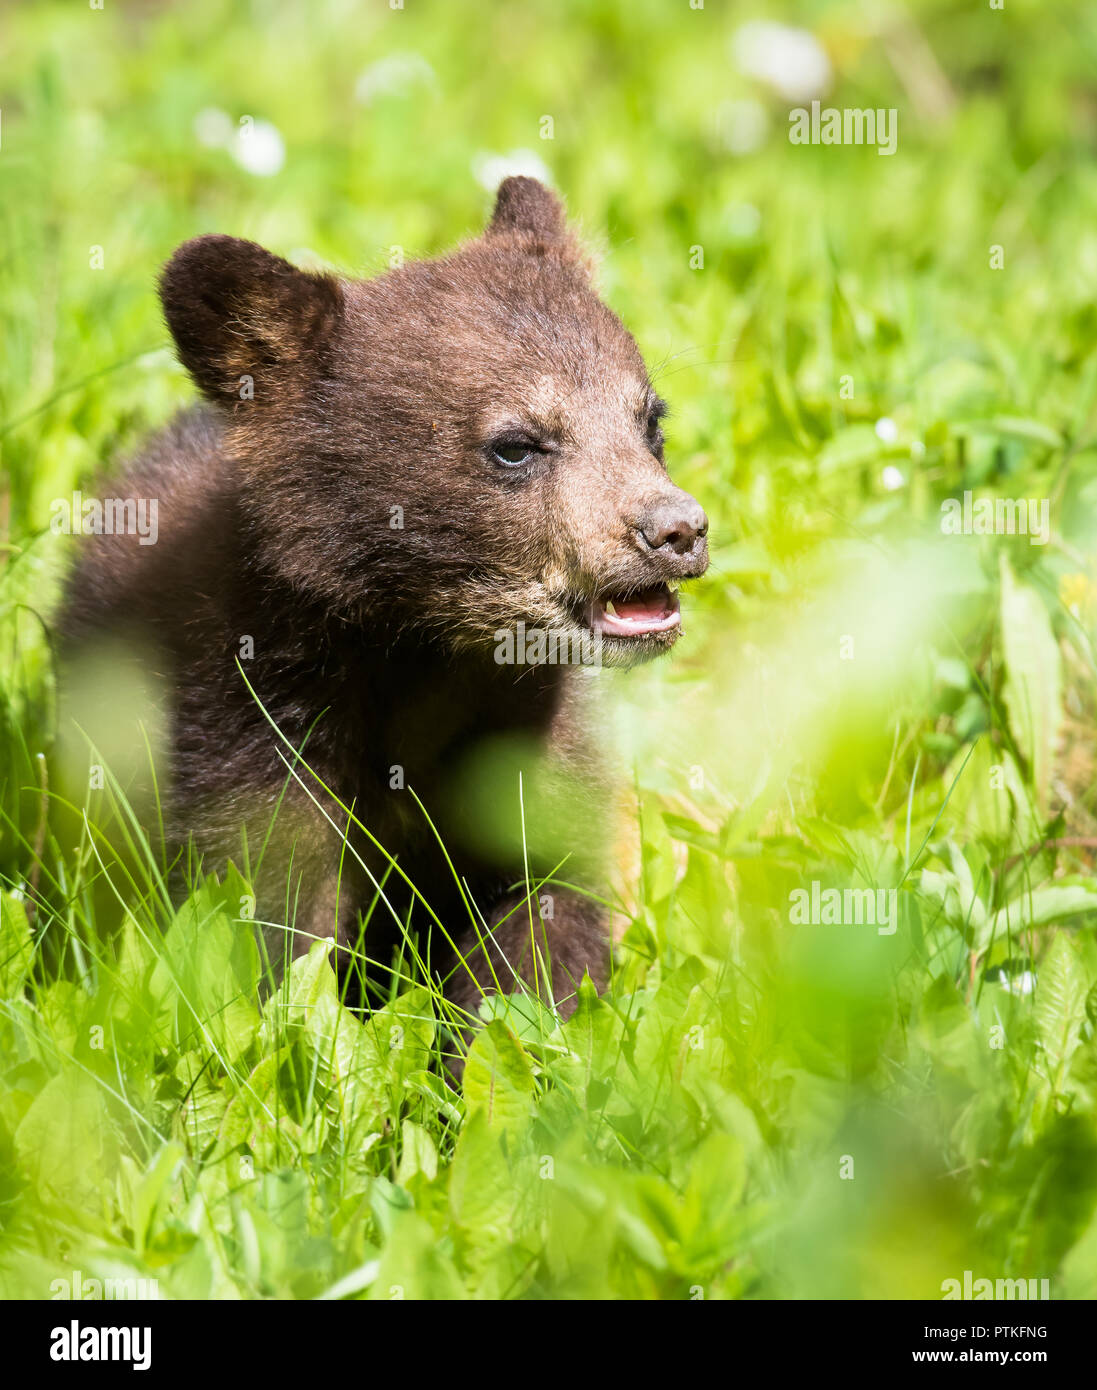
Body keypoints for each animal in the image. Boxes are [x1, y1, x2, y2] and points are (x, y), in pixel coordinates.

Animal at [58, 176, 709, 1034]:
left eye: (649, 418)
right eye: (515, 444)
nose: (676, 530)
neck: (425, 653)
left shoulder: (535, 745)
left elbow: (541, 915)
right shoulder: (251, 721)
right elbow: (269, 918)